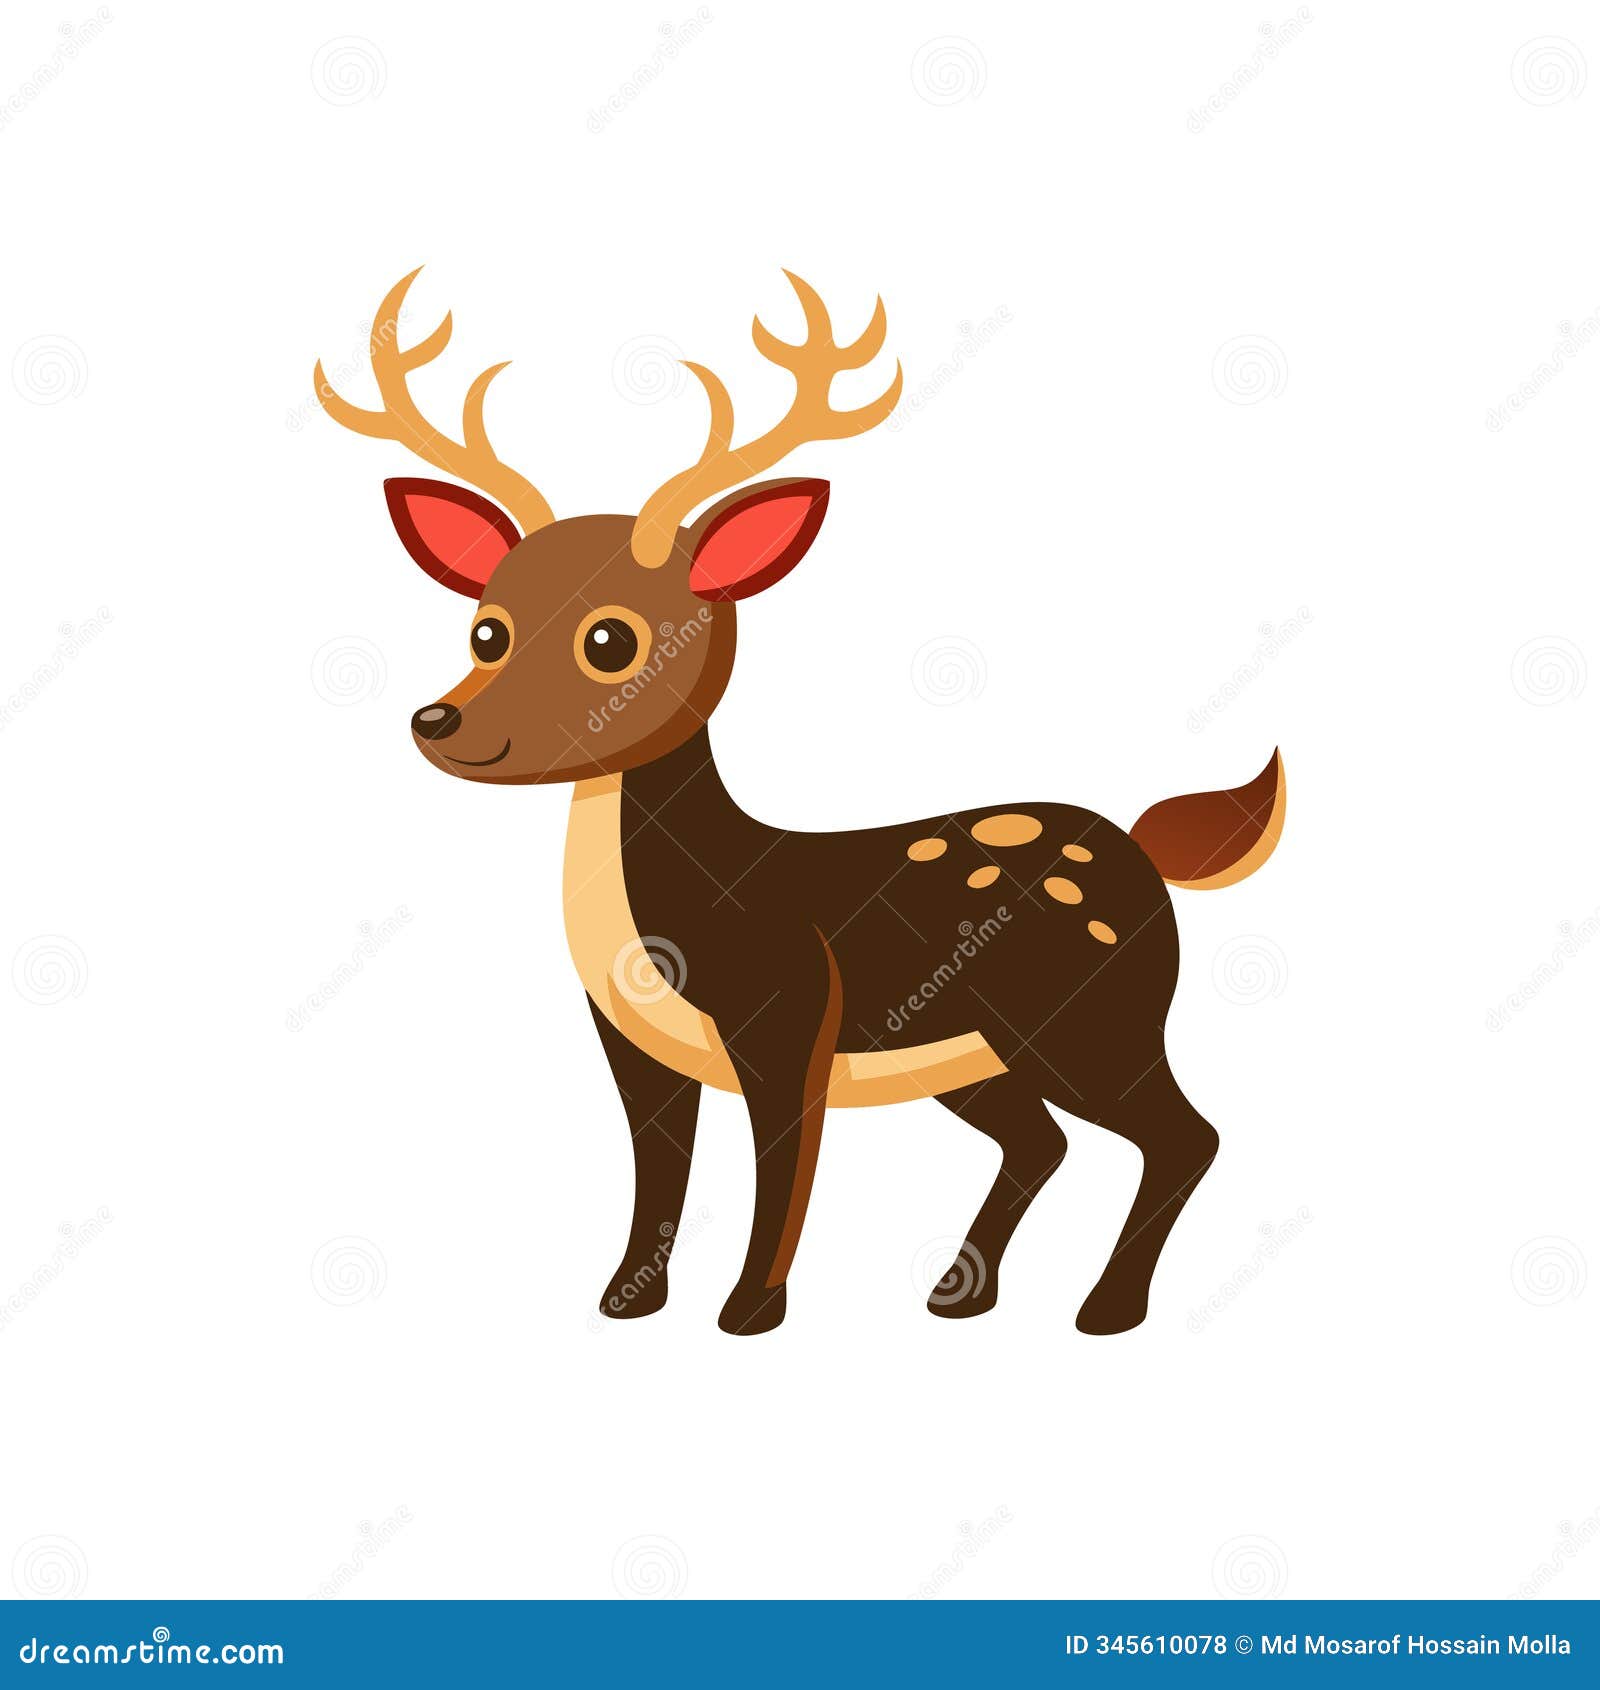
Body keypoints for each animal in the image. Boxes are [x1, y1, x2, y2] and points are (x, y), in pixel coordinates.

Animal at [314, 269, 1285, 1337]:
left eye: (610, 640)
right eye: (486, 629)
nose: (437, 721)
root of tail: (1151, 855)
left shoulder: (789, 1018)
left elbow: (782, 1175)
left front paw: (749, 1311)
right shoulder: (632, 1045)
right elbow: (660, 1172)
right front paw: (626, 1300)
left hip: (1092, 1017)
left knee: (1186, 1134)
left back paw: (1107, 1309)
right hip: (978, 1051)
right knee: (1043, 1142)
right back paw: (959, 1295)